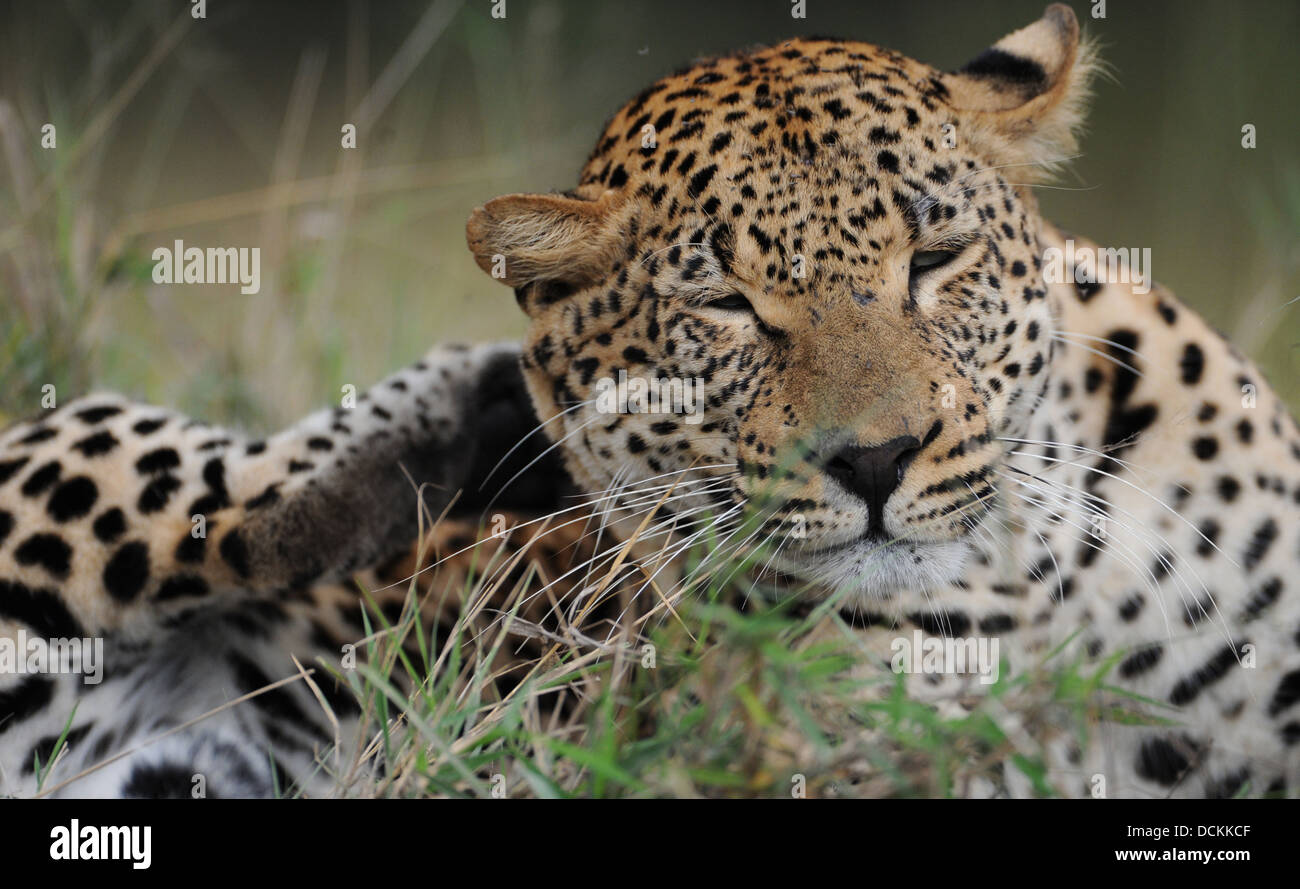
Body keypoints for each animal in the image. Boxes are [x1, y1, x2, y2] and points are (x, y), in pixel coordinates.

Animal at [2, 3, 1297, 798]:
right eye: (727, 306)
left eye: (933, 262)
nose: (878, 460)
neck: (1046, 583)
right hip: (67, 508)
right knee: (233, 507)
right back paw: (478, 416)